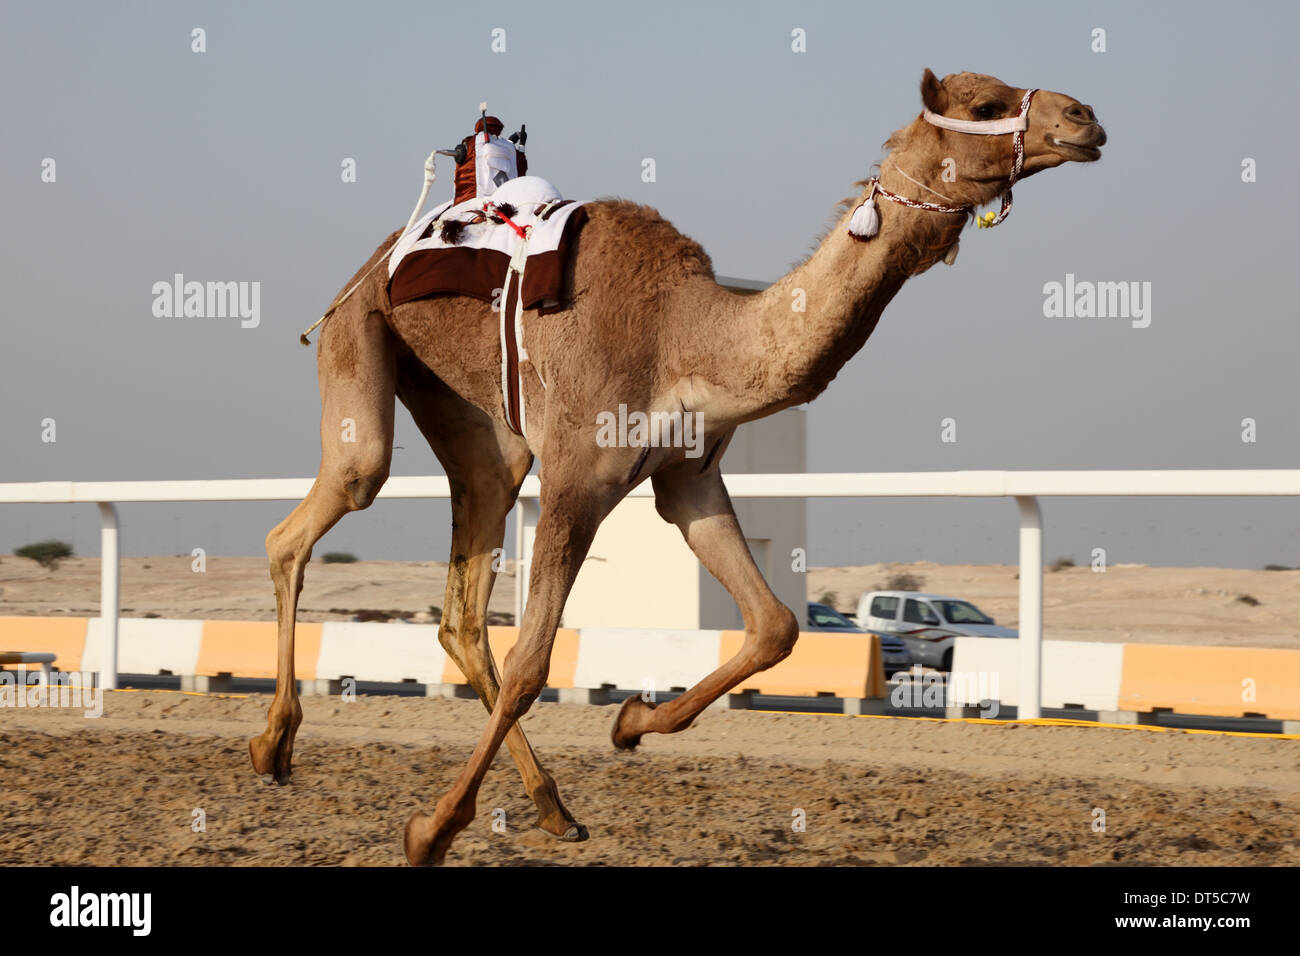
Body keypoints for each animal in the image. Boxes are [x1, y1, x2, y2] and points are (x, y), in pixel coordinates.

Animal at [248, 69, 1105, 864]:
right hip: (360, 337)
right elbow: (532, 663)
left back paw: (553, 807)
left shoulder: (687, 477)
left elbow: (775, 625)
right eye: (986, 106)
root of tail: (383, 255)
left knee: (464, 599)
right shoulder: (576, 477)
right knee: (324, 507)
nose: (1085, 118)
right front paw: (429, 832)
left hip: (482, 426)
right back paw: (273, 745)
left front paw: (631, 722)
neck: (687, 336)